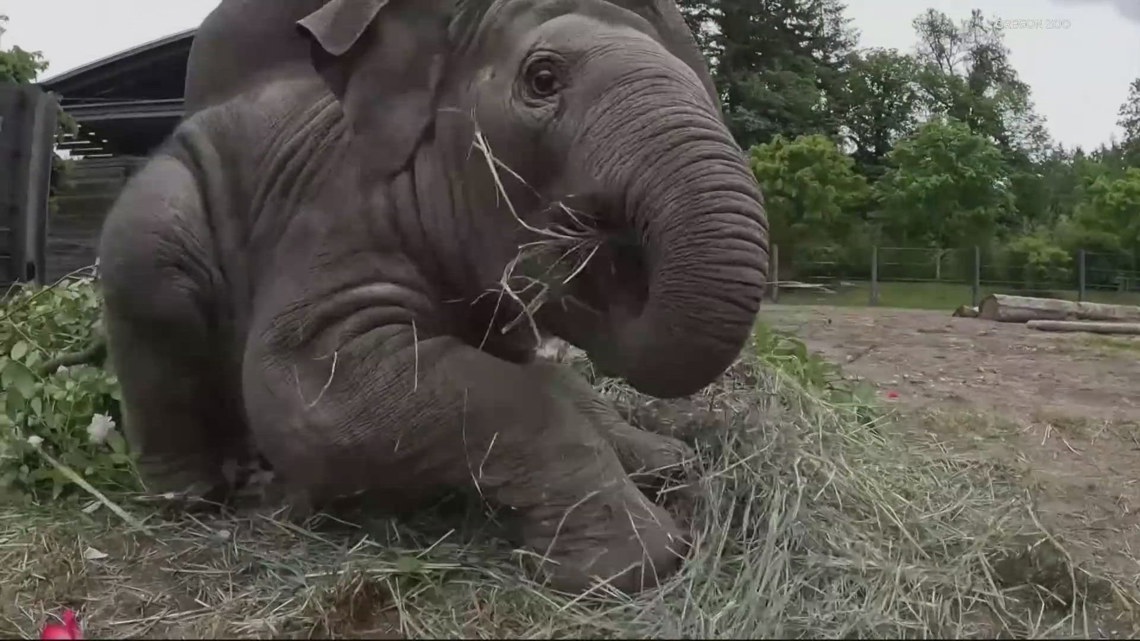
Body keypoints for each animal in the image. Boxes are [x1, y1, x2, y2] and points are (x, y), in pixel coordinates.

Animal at [98, 0, 770, 594]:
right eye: (543, 78)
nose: (606, 248)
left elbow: (540, 373)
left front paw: (670, 465)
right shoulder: (335, 217)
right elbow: (304, 393)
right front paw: (633, 566)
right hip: (156, 221)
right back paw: (201, 498)